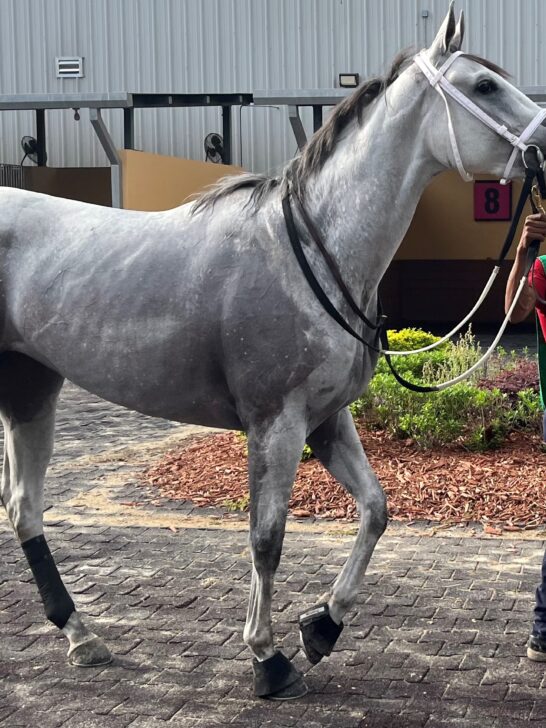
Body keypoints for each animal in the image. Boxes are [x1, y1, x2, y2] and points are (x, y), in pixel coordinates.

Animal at [2, 4, 546, 700]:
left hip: (31, 385)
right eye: (483, 86)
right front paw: (267, 657)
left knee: (24, 510)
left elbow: (375, 511)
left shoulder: (327, 420)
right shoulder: (276, 424)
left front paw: (323, 626)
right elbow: (267, 538)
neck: (311, 250)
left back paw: (81, 635)